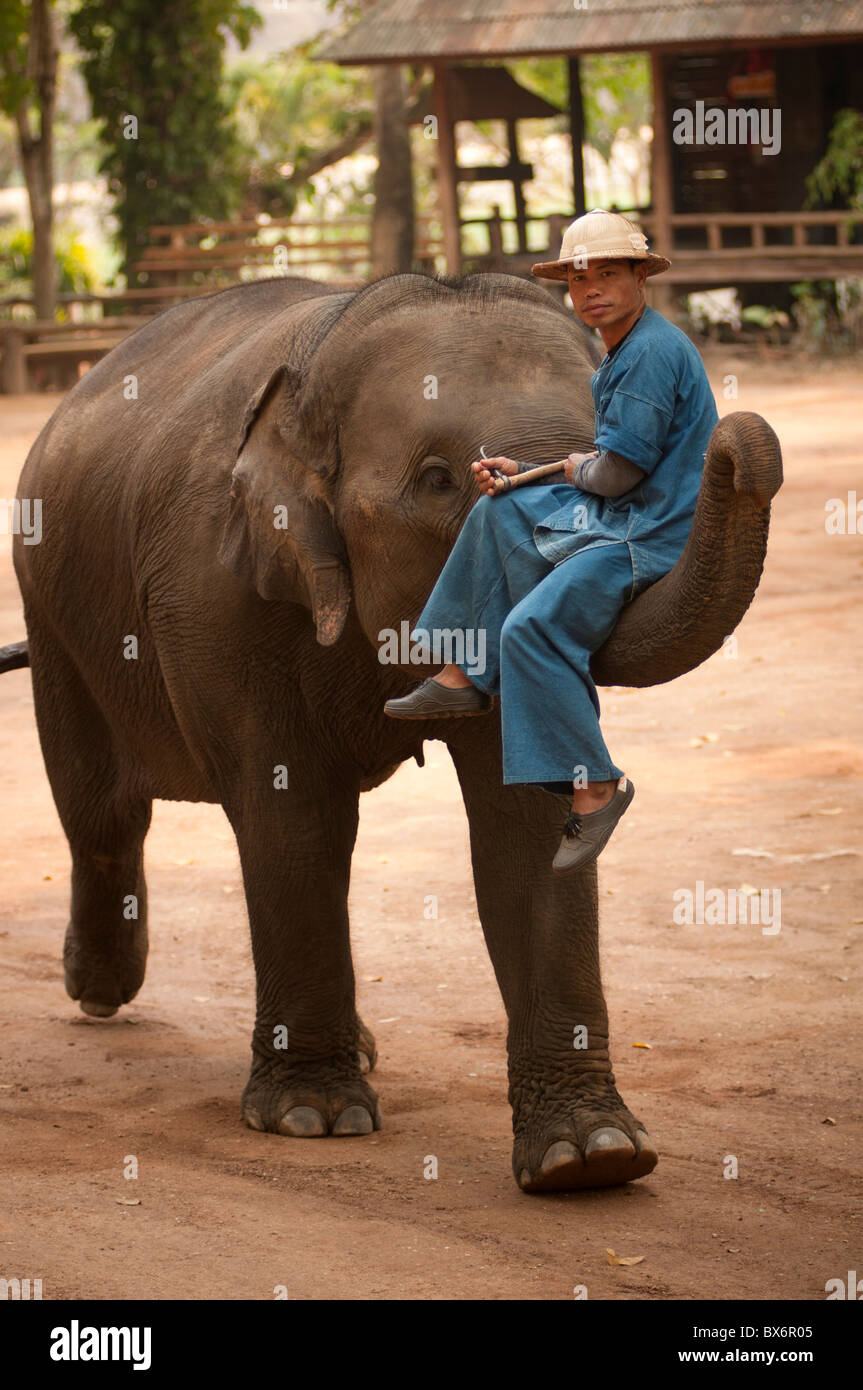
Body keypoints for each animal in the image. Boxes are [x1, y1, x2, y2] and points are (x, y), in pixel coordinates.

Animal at [8, 270, 782, 1193]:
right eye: (440, 480)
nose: (739, 444)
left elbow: (524, 828)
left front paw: (590, 1157)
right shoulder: (214, 593)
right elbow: (293, 818)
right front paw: (313, 1118)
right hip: (49, 601)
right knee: (100, 809)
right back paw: (99, 991)